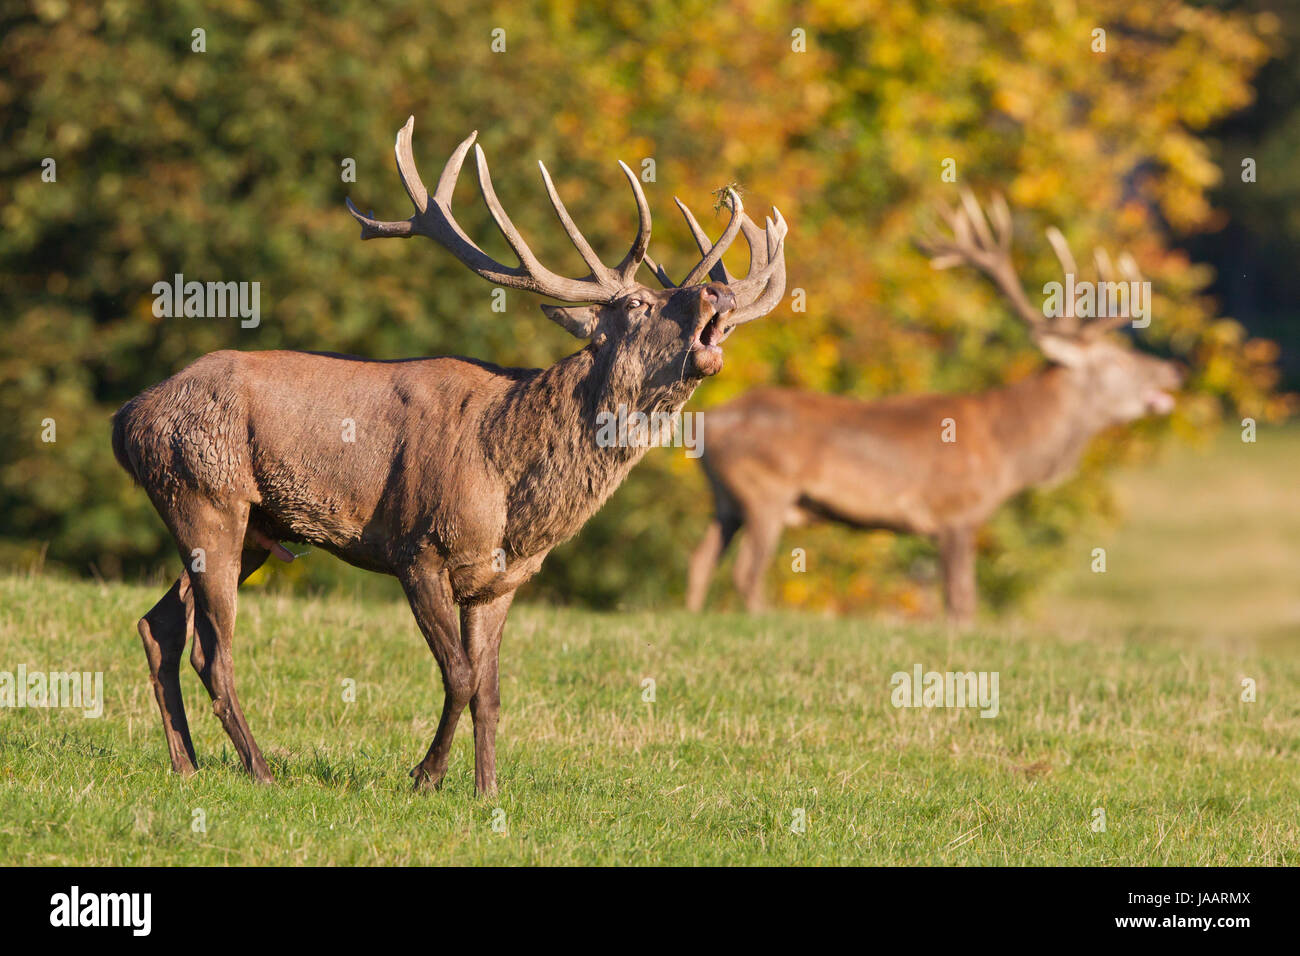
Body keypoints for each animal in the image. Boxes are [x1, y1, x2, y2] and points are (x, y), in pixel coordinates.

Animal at [112, 117, 787, 794]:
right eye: (635, 305)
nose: (716, 295)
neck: (513, 495)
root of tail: (127, 419)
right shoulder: (419, 549)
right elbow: (459, 676)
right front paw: (425, 775)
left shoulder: (499, 581)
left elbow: (490, 690)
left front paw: (487, 790)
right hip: (205, 495)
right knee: (211, 650)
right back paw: (260, 770)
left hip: (255, 526)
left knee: (159, 624)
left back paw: (187, 764)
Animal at [685, 189, 1181, 623]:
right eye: (1118, 360)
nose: (1173, 372)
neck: (1009, 451)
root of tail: (707, 424)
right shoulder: (956, 511)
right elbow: (961, 603)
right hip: (765, 490)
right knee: (746, 572)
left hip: (726, 499)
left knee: (699, 561)